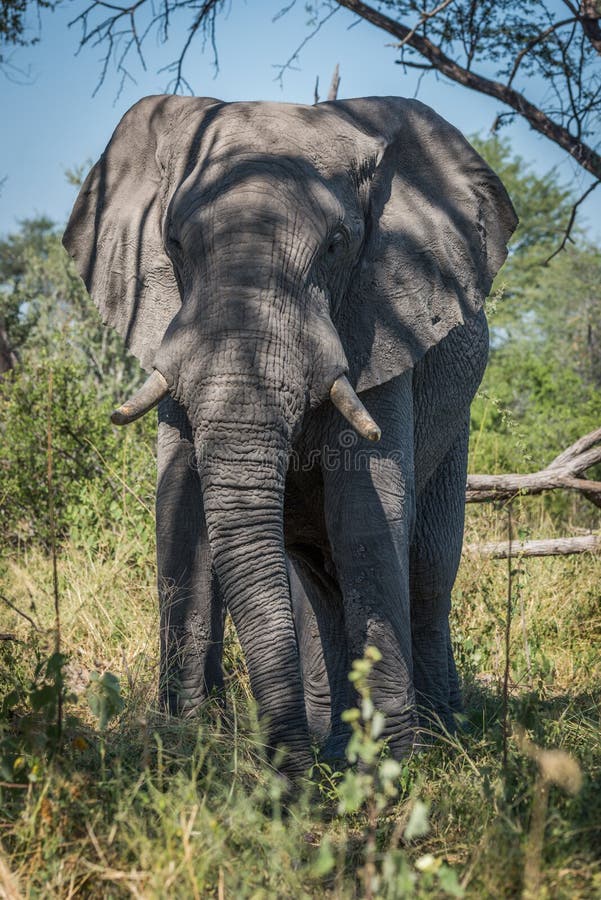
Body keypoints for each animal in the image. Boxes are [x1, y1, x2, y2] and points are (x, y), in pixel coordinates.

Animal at [63, 94, 517, 777]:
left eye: (336, 245)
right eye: (173, 243)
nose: (283, 777)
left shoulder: (379, 323)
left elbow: (367, 513)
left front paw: (389, 768)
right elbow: (179, 511)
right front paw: (185, 743)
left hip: (457, 416)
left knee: (427, 564)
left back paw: (442, 734)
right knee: (317, 574)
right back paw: (334, 742)